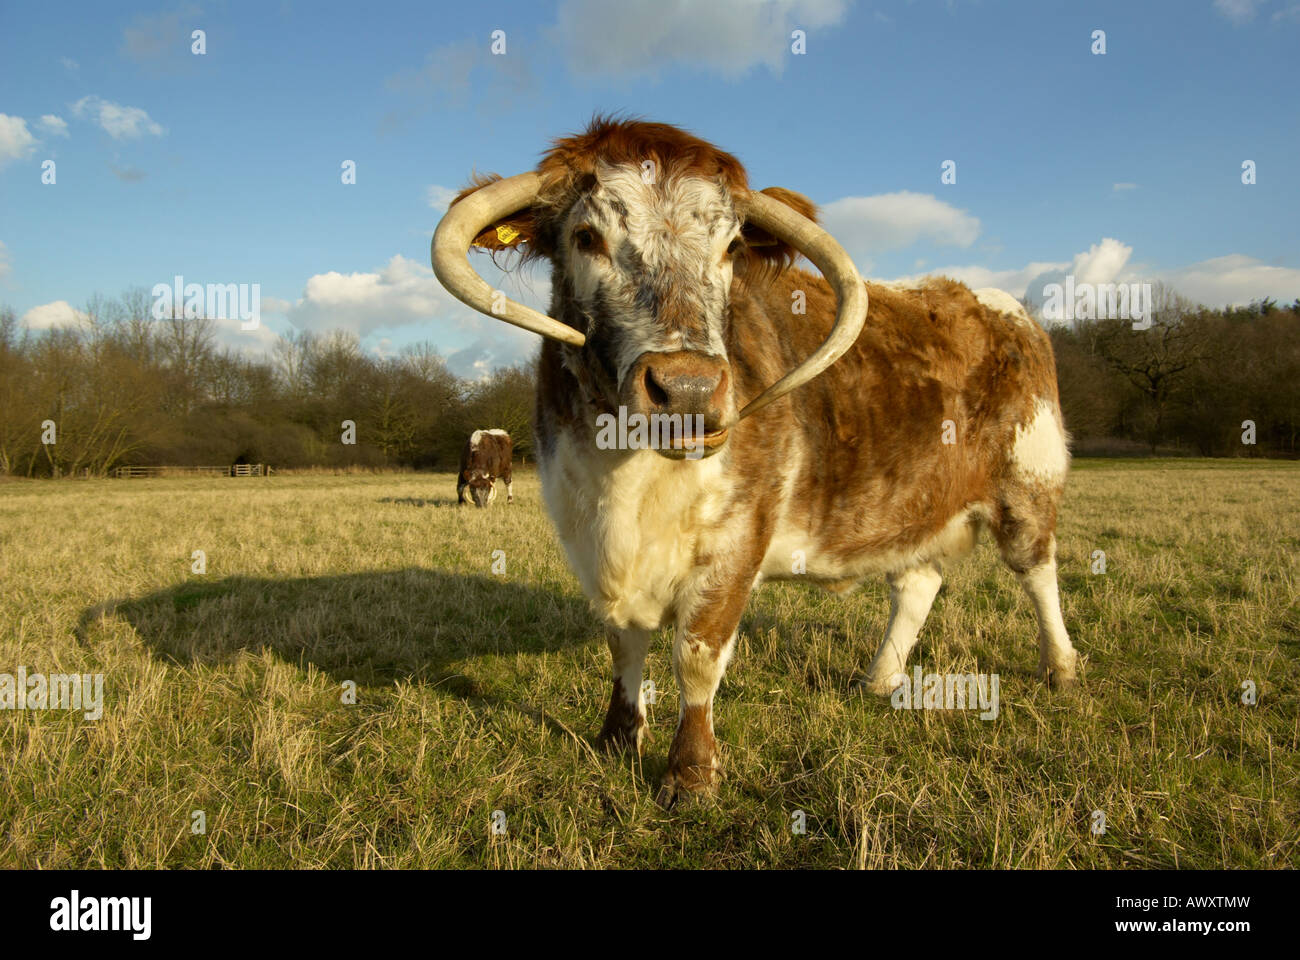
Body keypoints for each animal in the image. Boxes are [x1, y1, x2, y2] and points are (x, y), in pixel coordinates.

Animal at [432, 118, 1079, 806]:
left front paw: (690, 774)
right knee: (918, 583)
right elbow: (622, 645)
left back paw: (1060, 667)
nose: (687, 390)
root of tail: (999, 308)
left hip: (1027, 486)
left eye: (730, 247)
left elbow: (696, 654)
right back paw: (879, 678)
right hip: (916, 505)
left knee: (1038, 571)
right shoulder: (590, 540)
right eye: (586, 237)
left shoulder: (736, 544)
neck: (627, 479)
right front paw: (616, 738)